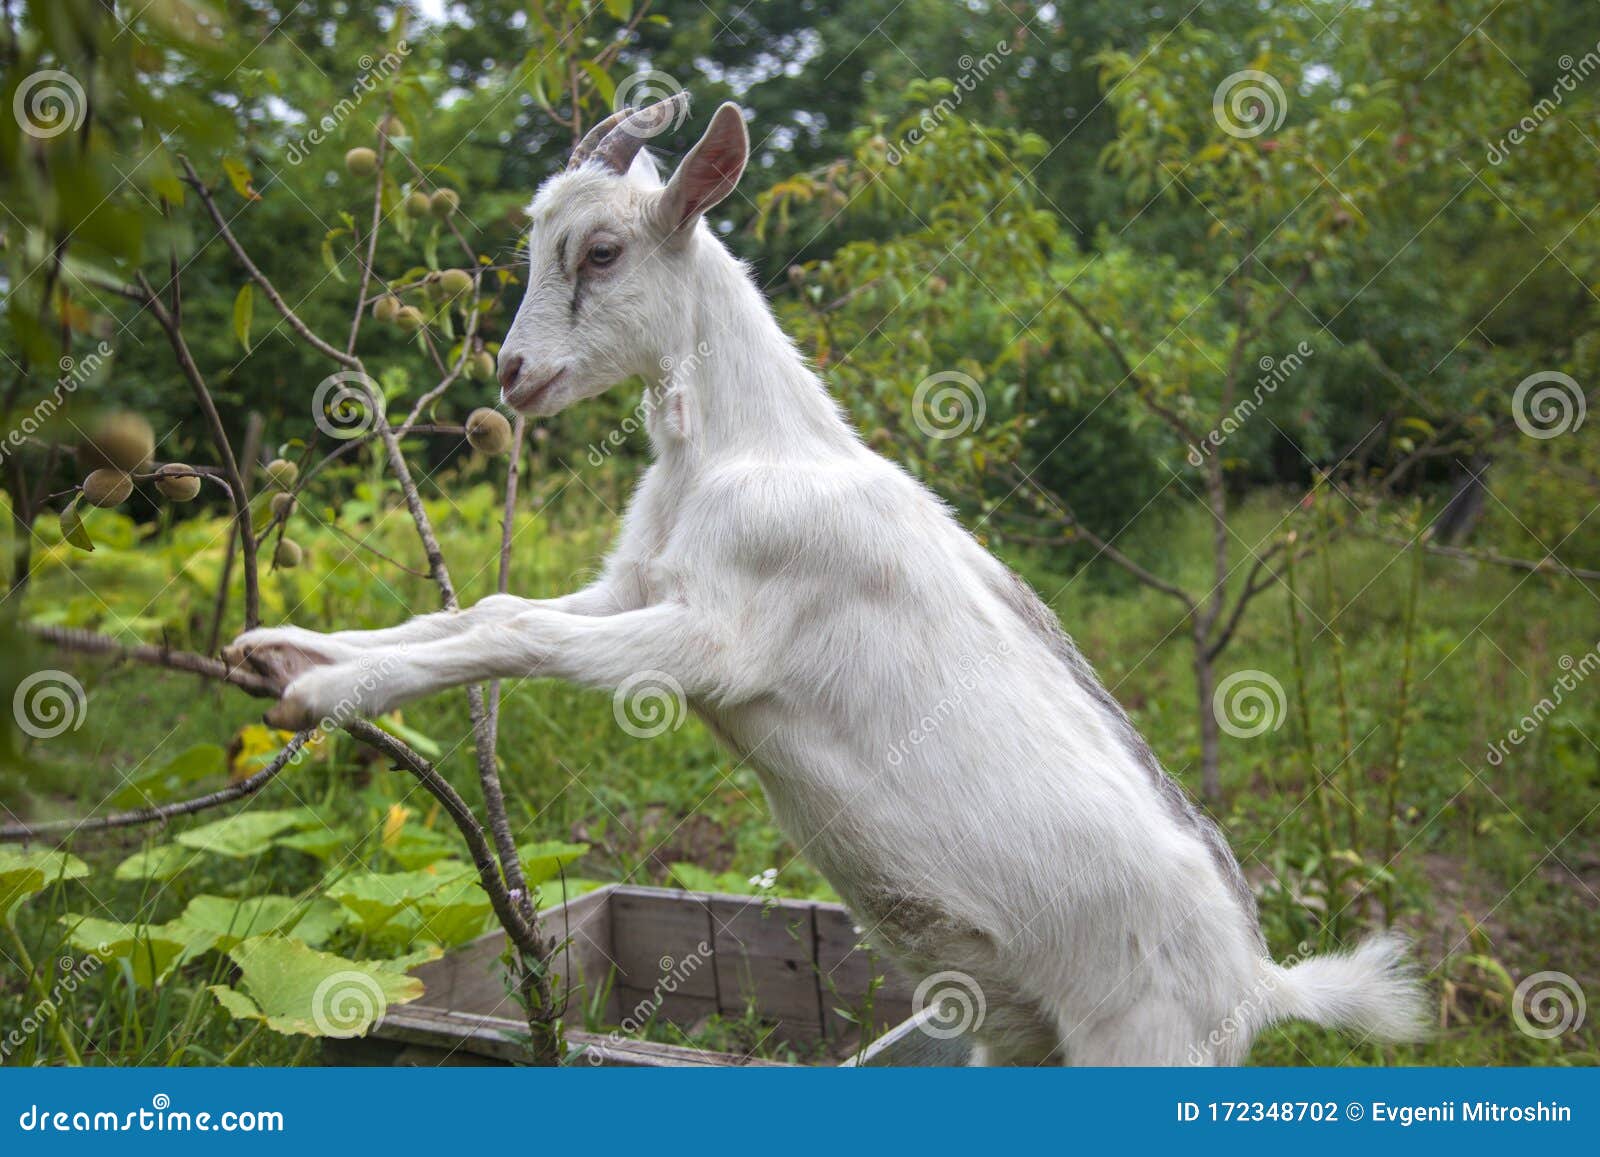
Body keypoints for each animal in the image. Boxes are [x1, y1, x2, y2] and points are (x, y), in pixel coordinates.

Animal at [227, 95, 1428, 1065]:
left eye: (602, 251)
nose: (515, 373)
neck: (747, 452)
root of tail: (1262, 983)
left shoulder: (714, 637)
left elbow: (522, 631)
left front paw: (323, 690)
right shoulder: (631, 587)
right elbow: (490, 605)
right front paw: (279, 653)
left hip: (1139, 1044)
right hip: (1018, 1032)